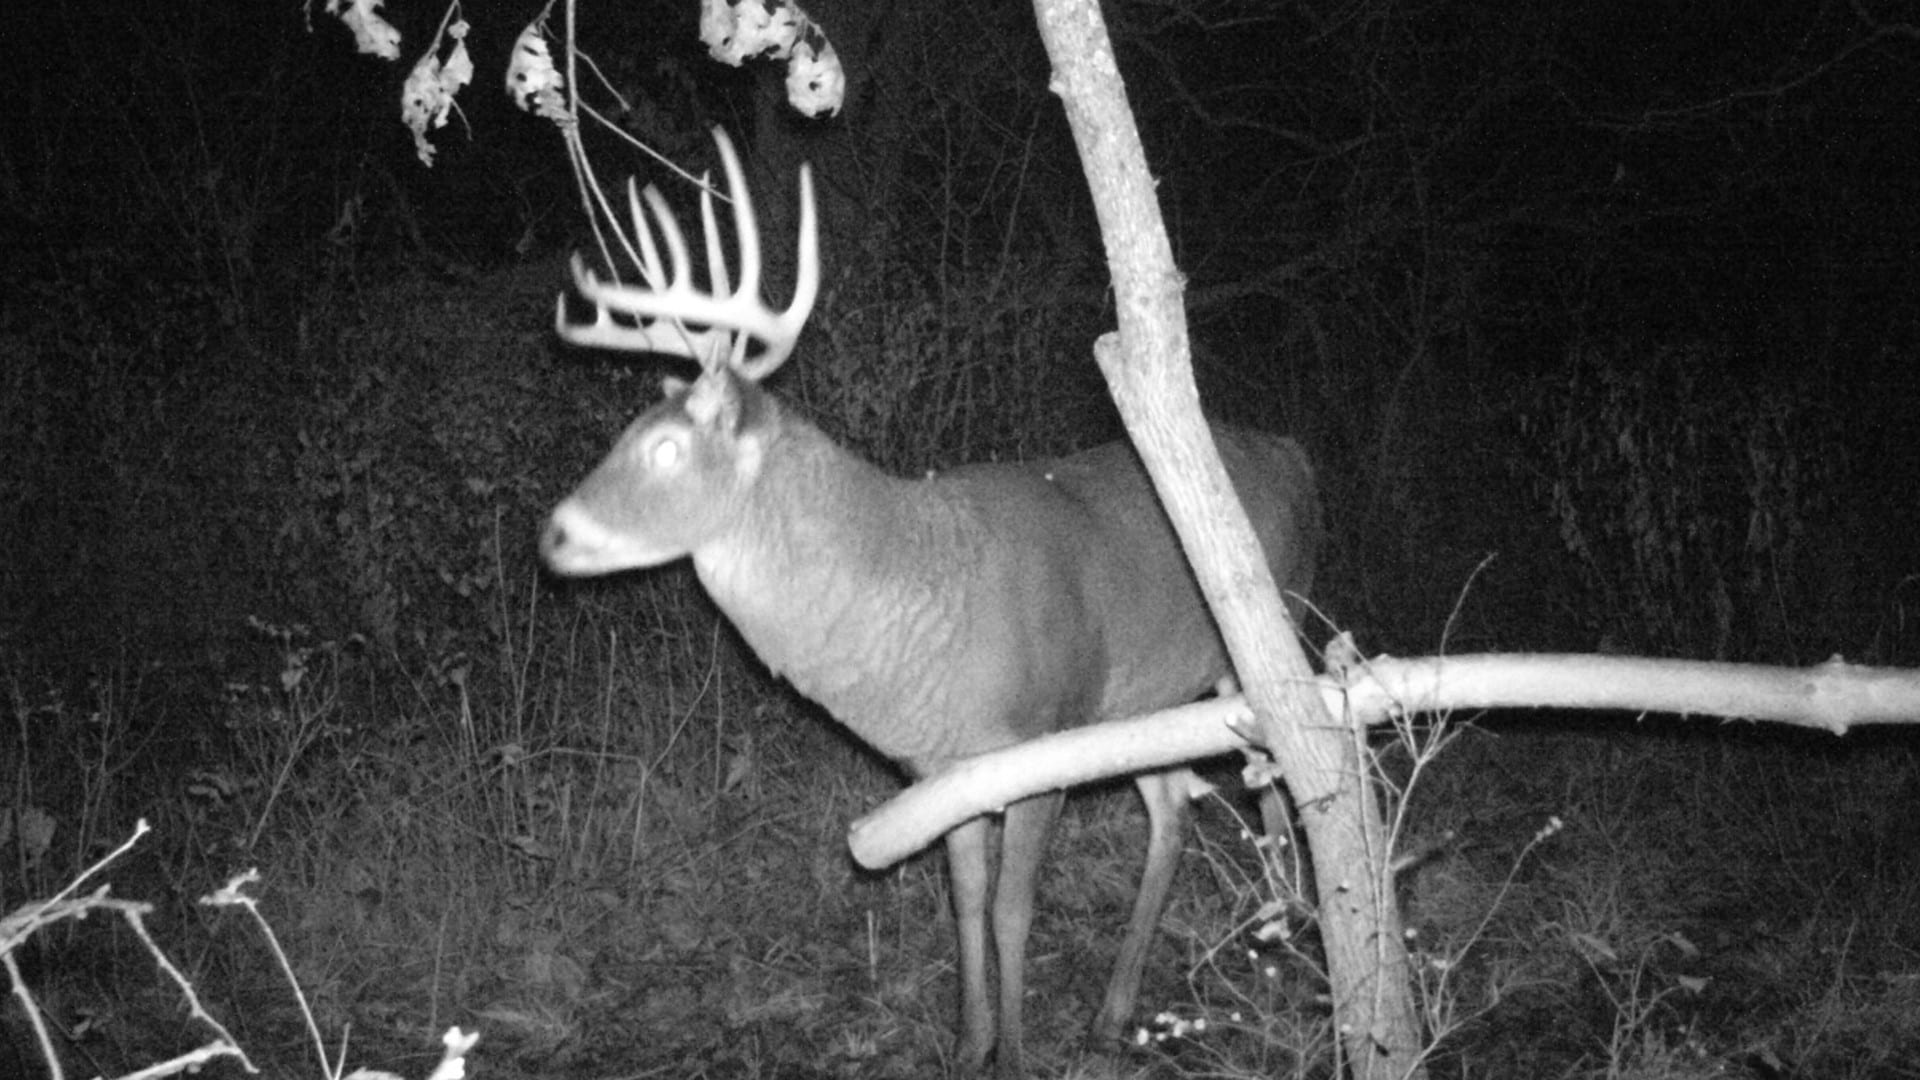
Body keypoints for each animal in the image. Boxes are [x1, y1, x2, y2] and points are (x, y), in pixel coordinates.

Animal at [540, 131, 1322, 1076]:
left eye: (662, 449)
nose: (554, 535)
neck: (924, 595)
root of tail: (1297, 455)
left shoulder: (1040, 737)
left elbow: (1015, 909)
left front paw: (1014, 1054)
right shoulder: (942, 771)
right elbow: (966, 901)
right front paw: (967, 1040)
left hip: (1265, 635)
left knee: (1274, 783)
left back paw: (1283, 939)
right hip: (1145, 698)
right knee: (1176, 807)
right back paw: (1119, 1009)